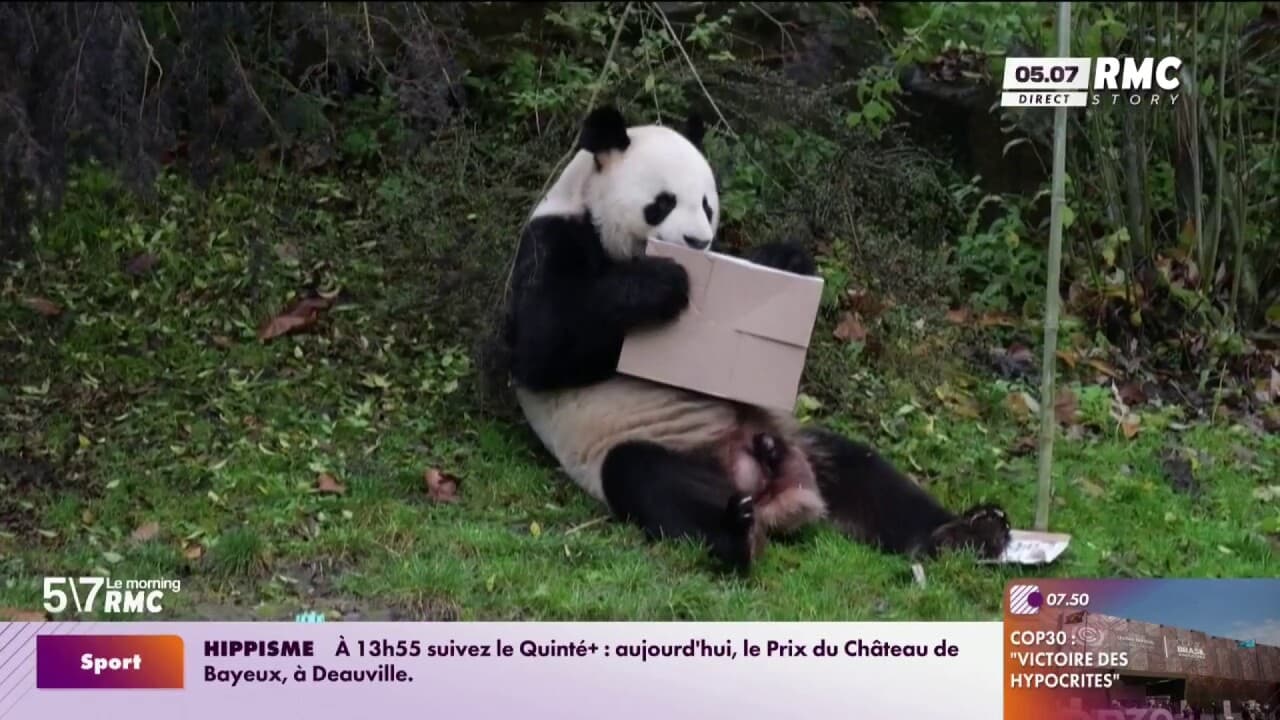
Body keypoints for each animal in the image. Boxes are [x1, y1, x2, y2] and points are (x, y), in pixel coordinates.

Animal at [501, 105, 1011, 573]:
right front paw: (663, 283)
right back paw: (737, 537)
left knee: (868, 475)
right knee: (649, 478)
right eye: (663, 202)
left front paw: (787, 260)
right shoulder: (553, 239)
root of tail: (774, 490)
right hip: (639, 443)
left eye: (707, 204)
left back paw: (968, 531)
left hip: (803, 442)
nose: (697, 241)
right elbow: (540, 347)